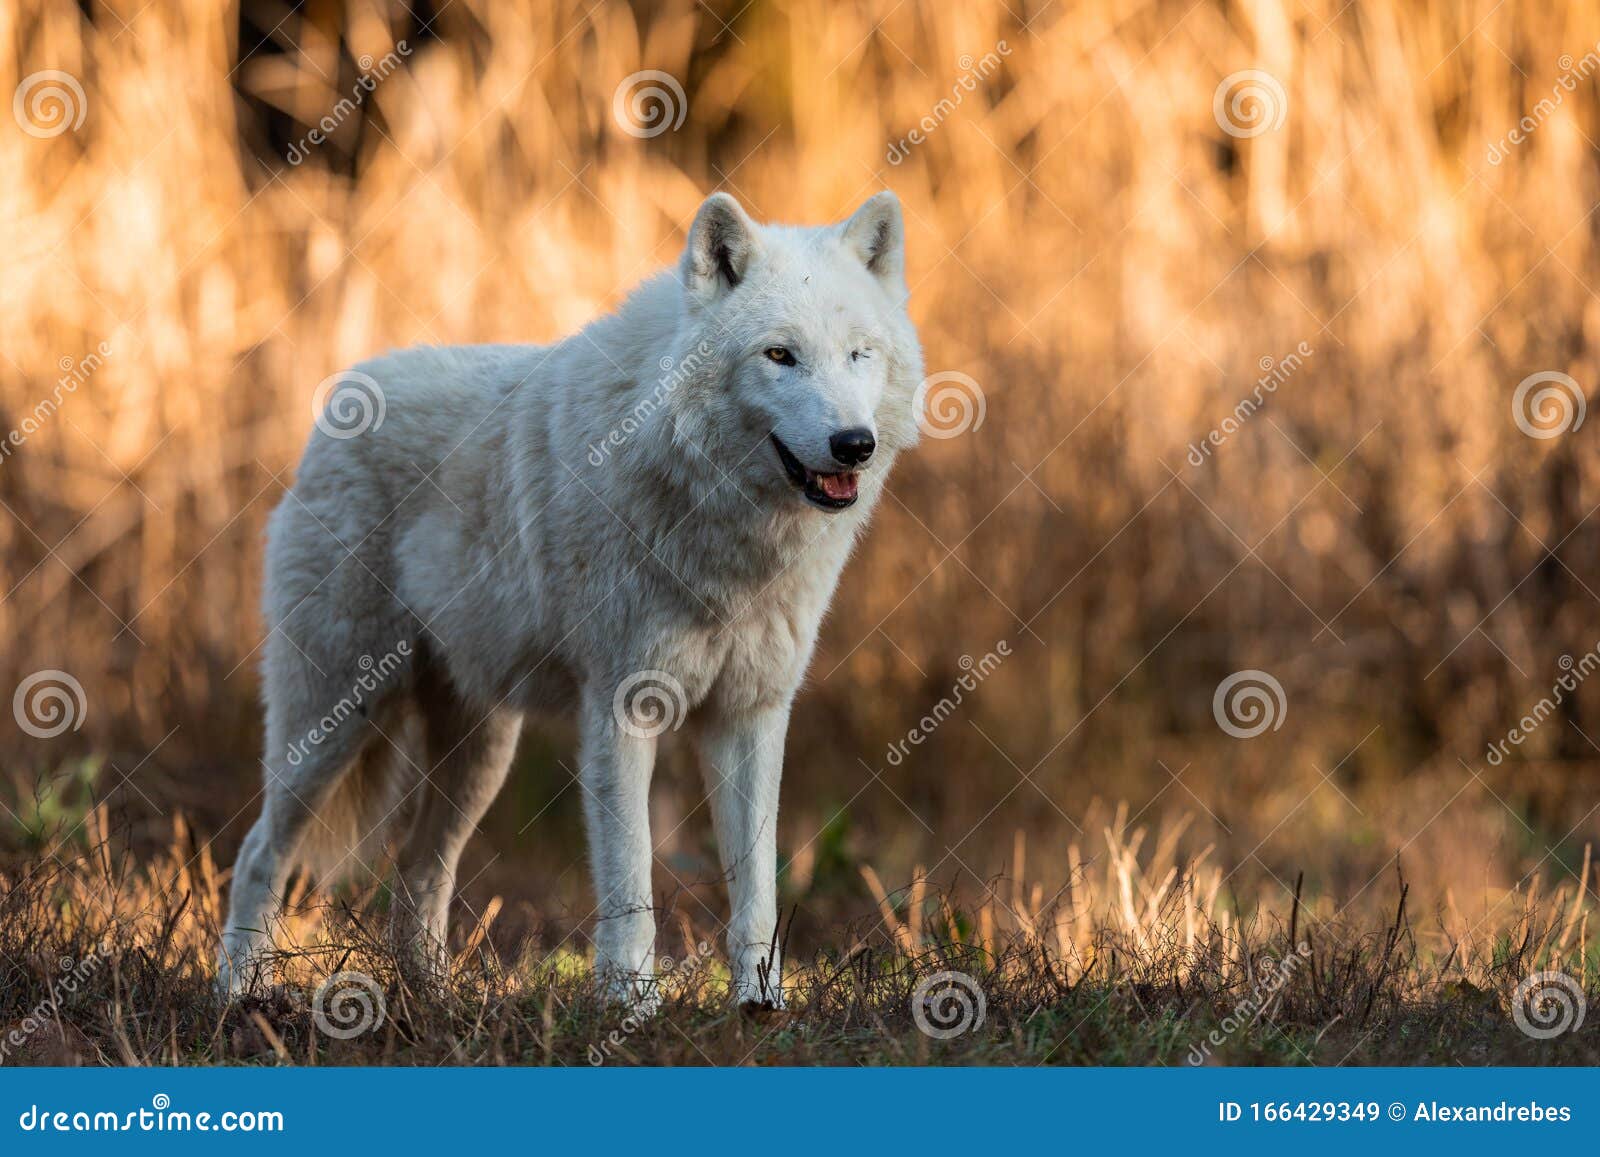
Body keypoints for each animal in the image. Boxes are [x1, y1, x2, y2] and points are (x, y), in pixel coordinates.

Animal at [218, 191, 923, 1007]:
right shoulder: (622, 708)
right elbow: (630, 881)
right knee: (260, 852)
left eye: (858, 354)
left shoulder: (750, 714)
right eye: (780, 355)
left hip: (479, 757)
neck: (726, 539)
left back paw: (434, 1002)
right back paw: (237, 993)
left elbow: (756, 893)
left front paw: (759, 1008)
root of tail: (345, 397)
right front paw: (631, 1008)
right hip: (332, 720)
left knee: (419, 871)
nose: (853, 443)